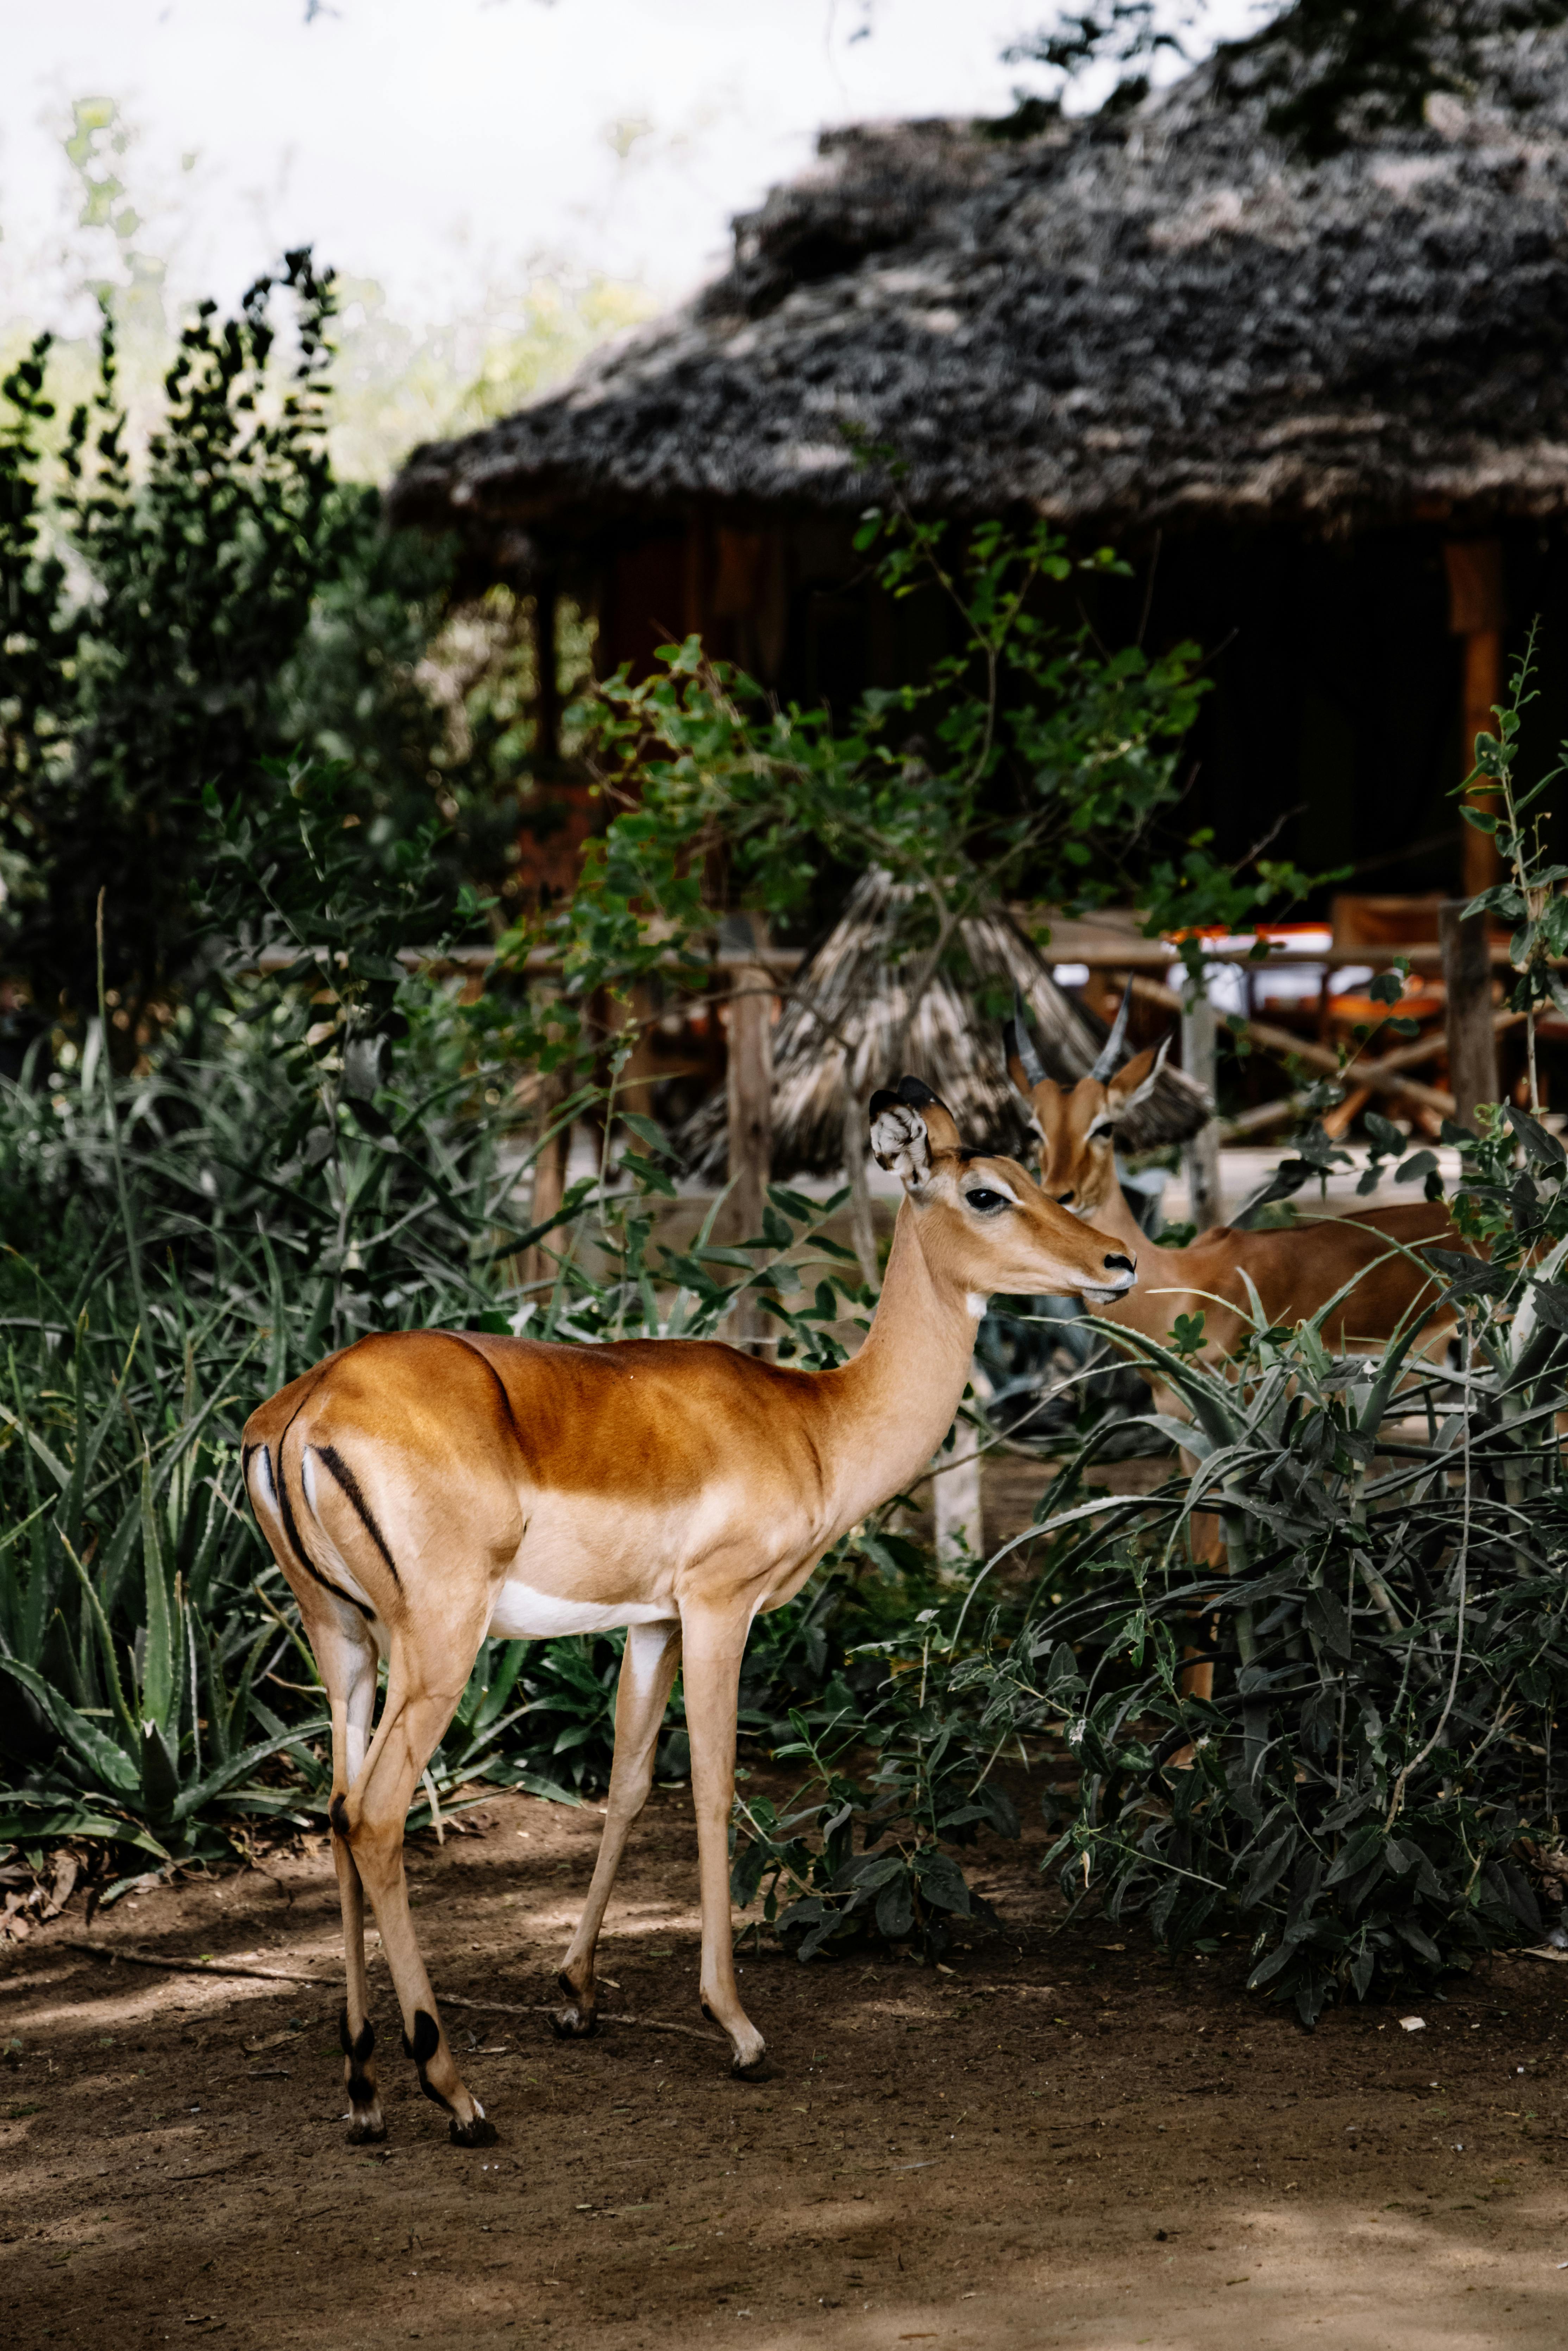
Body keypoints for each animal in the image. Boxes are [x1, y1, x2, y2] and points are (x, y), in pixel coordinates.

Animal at [241, 1077, 1136, 2145]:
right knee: (376, 1815)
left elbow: (629, 1782)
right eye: (987, 1192)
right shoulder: (720, 1605)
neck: (815, 1421)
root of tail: (302, 1410)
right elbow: (711, 1786)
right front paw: (737, 2026)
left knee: (334, 1809)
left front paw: (575, 1994)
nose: (1117, 1261)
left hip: (343, 1643)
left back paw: (363, 2090)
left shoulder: (649, 1622)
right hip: (438, 1645)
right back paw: (455, 2093)